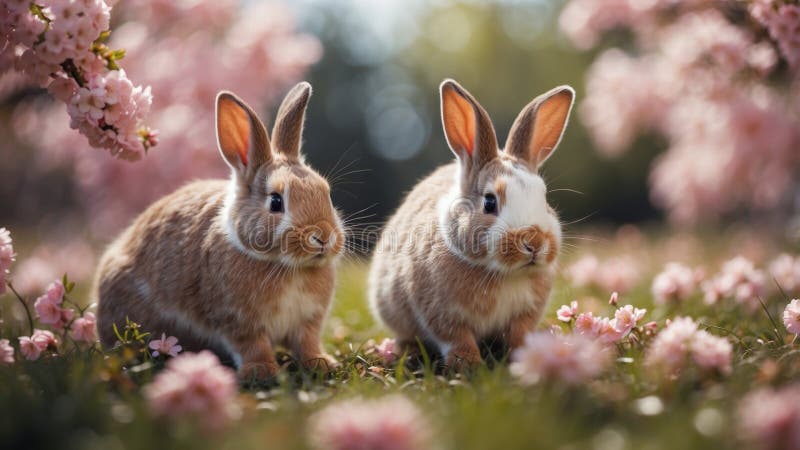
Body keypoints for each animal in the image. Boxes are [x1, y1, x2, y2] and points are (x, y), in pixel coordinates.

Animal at [94, 82, 344, 378]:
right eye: (276, 202)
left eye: (326, 192)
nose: (323, 236)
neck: (286, 267)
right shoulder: (237, 321)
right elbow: (252, 346)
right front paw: (262, 371)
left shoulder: (307, 322)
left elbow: (307, 344)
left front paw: (322, 363)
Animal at [368, 79, 574, 370]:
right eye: (489, 202)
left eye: (544, 199)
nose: (534, 242)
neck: (502, 274)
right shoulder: (441, 312)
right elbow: (456, 338)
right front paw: (467, 364)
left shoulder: (524, 315)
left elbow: (519, 334)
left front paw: (527, 355)